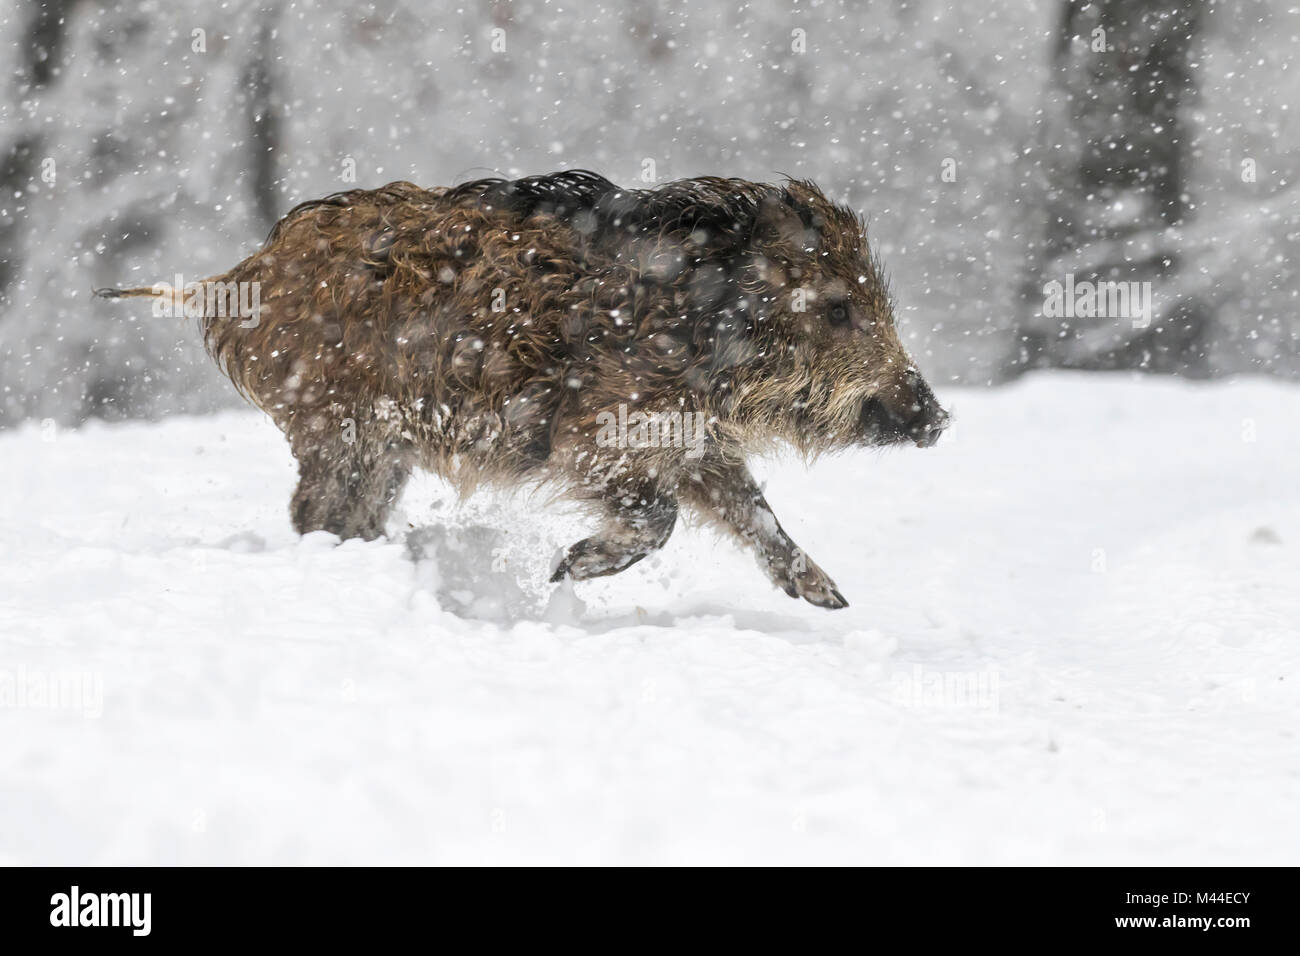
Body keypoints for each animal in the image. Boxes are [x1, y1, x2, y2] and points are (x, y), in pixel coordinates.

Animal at [98, 171, 948, 608]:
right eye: (836, 307)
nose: (937, 418)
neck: (701, 326)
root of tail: (234, 280)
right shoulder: (604, 436)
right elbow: (660, 519)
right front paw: (562, 571)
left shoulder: (695, 445)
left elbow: (753, 512)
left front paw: (829, 598)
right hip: (341, 422)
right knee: (316, 511)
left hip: (382, 443)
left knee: (347, 512)